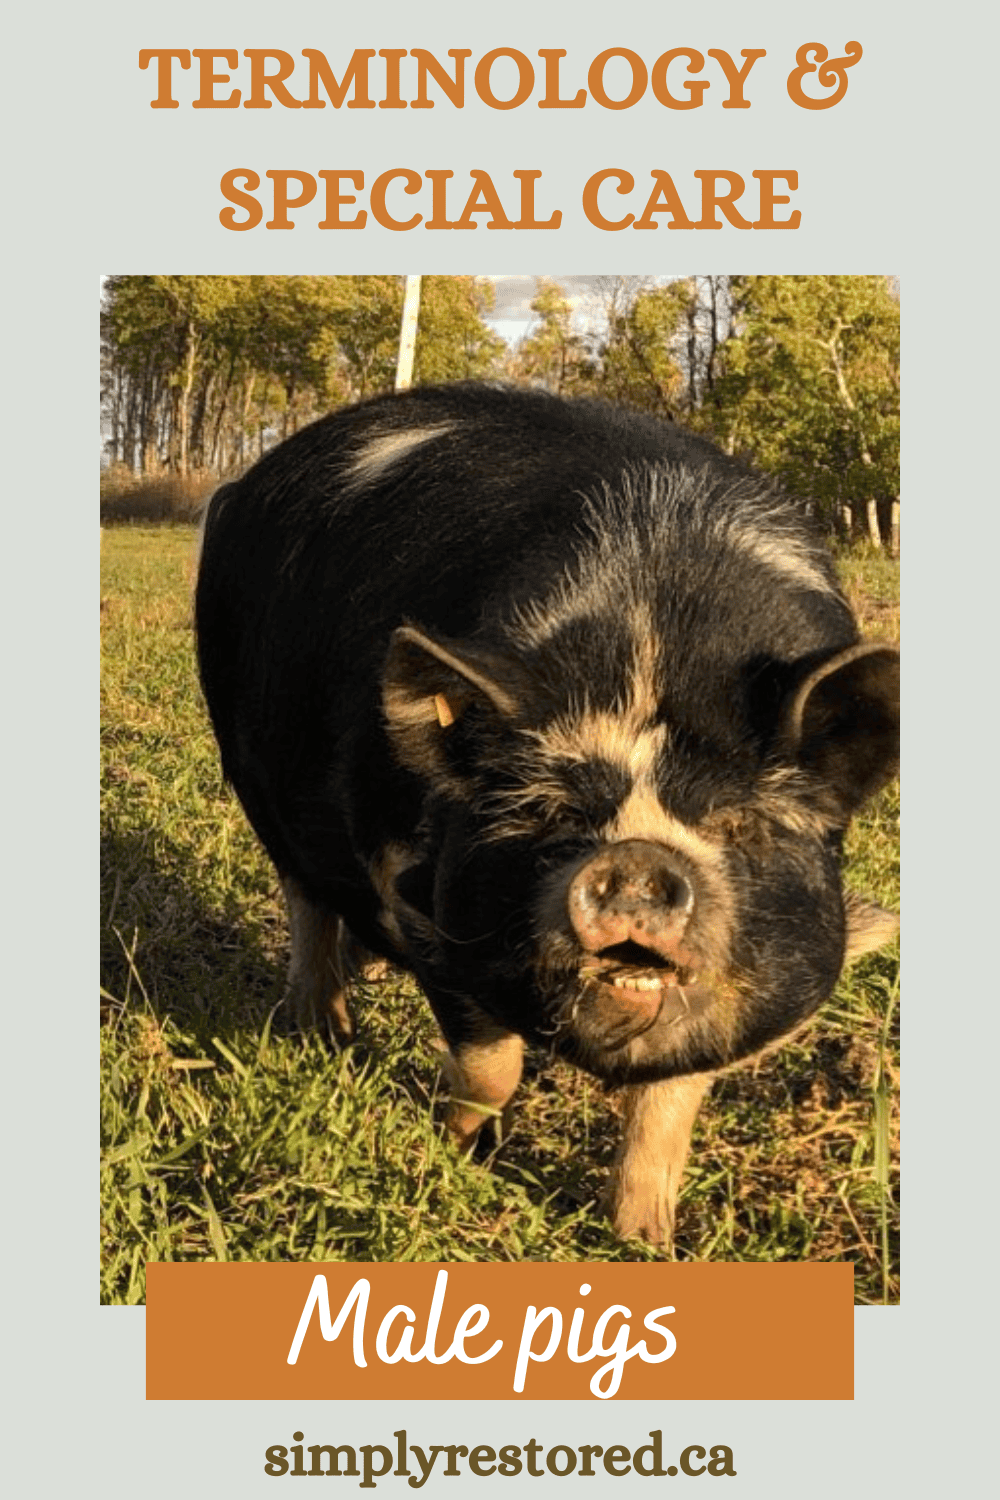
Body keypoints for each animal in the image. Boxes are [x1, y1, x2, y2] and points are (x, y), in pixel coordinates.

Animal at [195, 382, 899, 1247]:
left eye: (740, 825)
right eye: (550, 814)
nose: (637, 859)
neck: (656, 632)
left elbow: (671, 1100)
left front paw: (646, 1242)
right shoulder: (416, 890)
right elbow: (490, 1061)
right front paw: (459, 1152)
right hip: (249, 766)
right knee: (305, 899)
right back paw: (321, 1031)